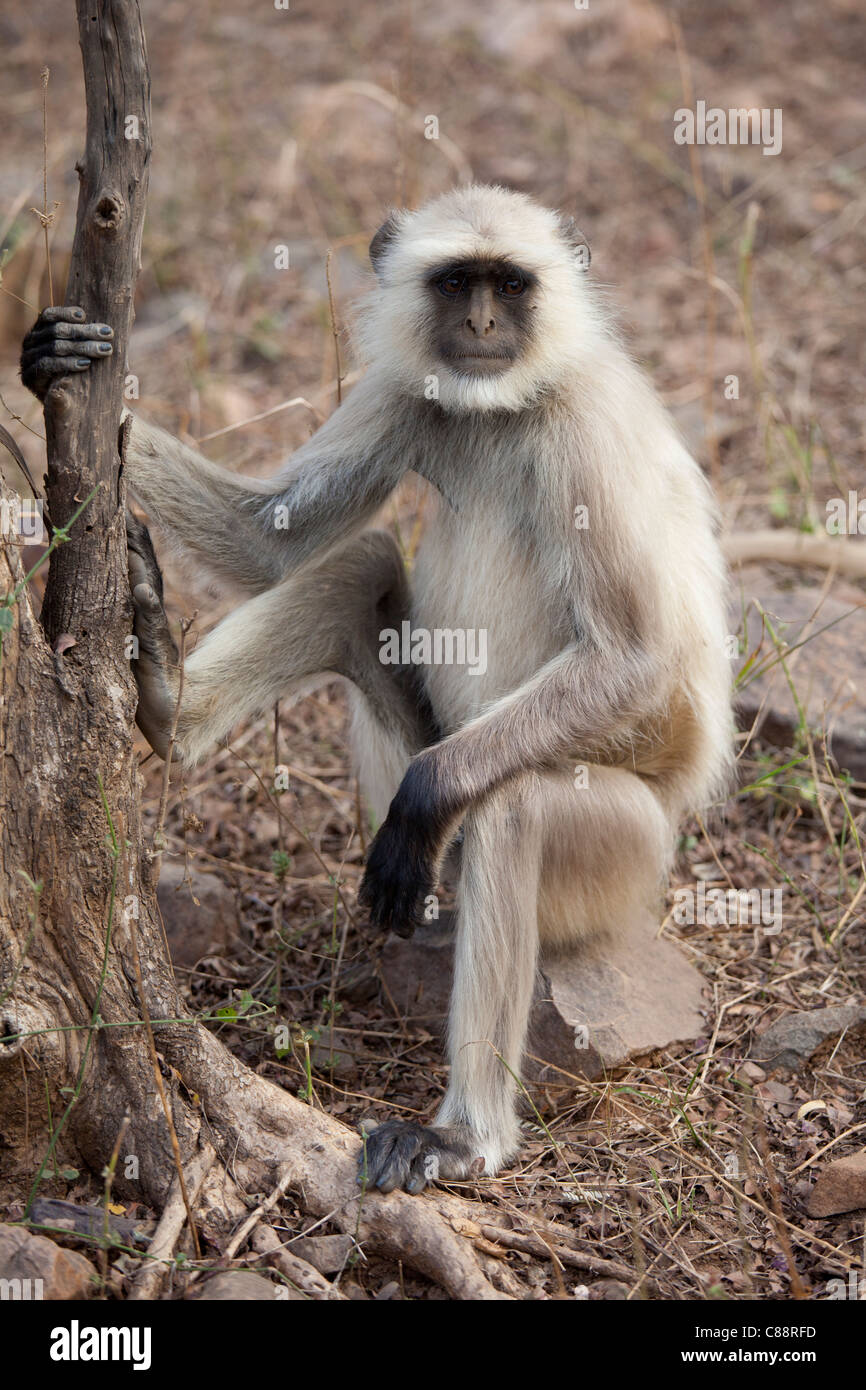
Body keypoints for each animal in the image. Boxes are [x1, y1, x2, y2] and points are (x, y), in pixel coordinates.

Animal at [21, 185, 734, 1196]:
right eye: (457, 284)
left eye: (510, 285)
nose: (483, 324)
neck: (506, 405)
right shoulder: (408, 390)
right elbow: (271, 540)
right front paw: (47, 360)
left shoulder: (584, 424)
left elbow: (635, 657)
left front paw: (426, 798)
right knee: (357, 566)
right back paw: (163, 698)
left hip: (627, 862)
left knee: (514, 807)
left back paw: (466, 1135)